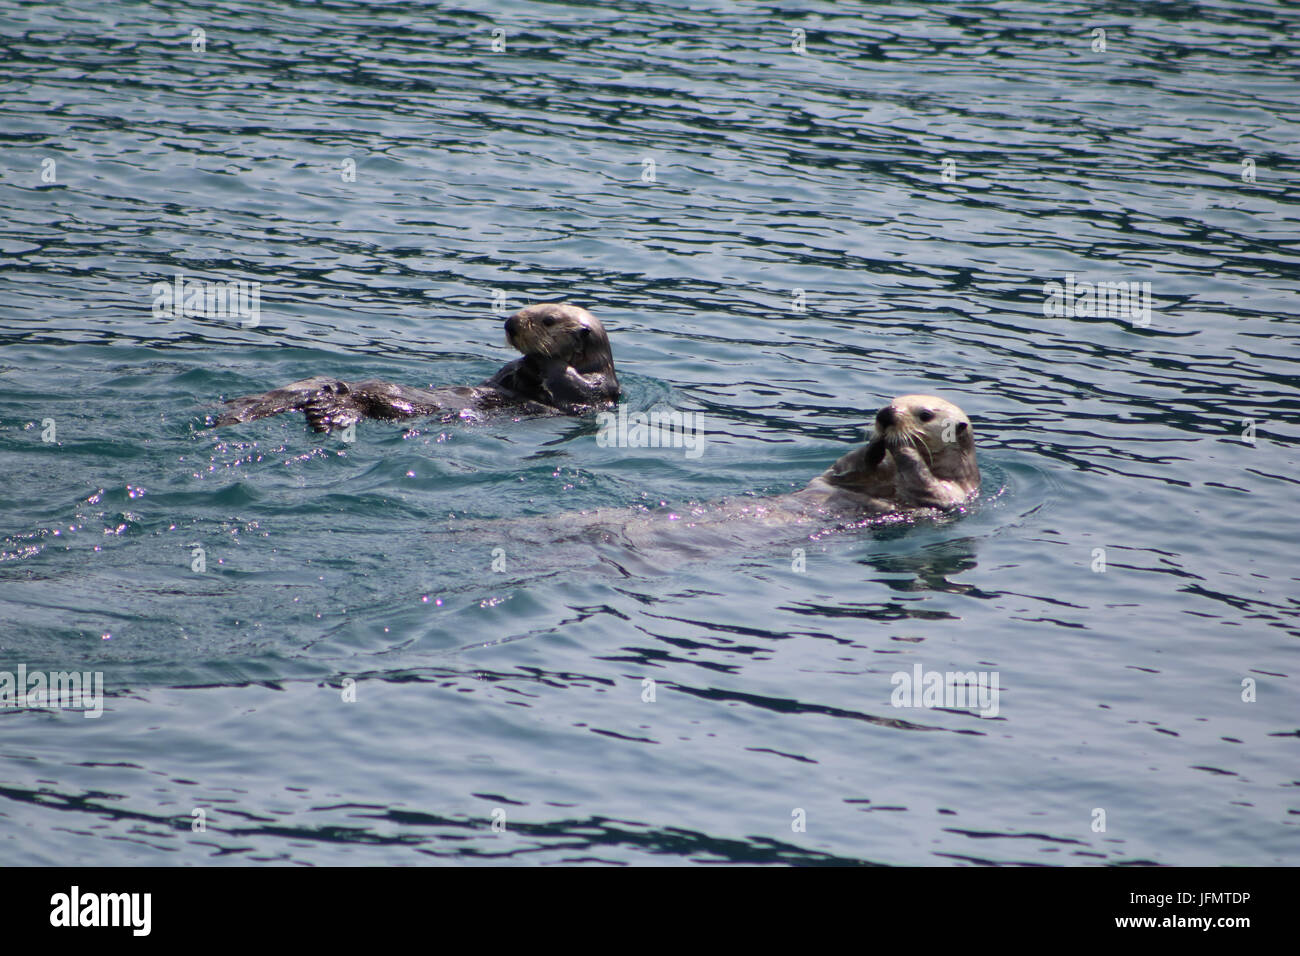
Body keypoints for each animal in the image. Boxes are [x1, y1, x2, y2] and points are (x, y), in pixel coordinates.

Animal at [213, 303, 619, 432]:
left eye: (548, 319)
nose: (510, 323)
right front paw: (516, 367)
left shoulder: (594, 392)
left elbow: (568, 382)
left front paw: (536, 363)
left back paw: (326, 416)